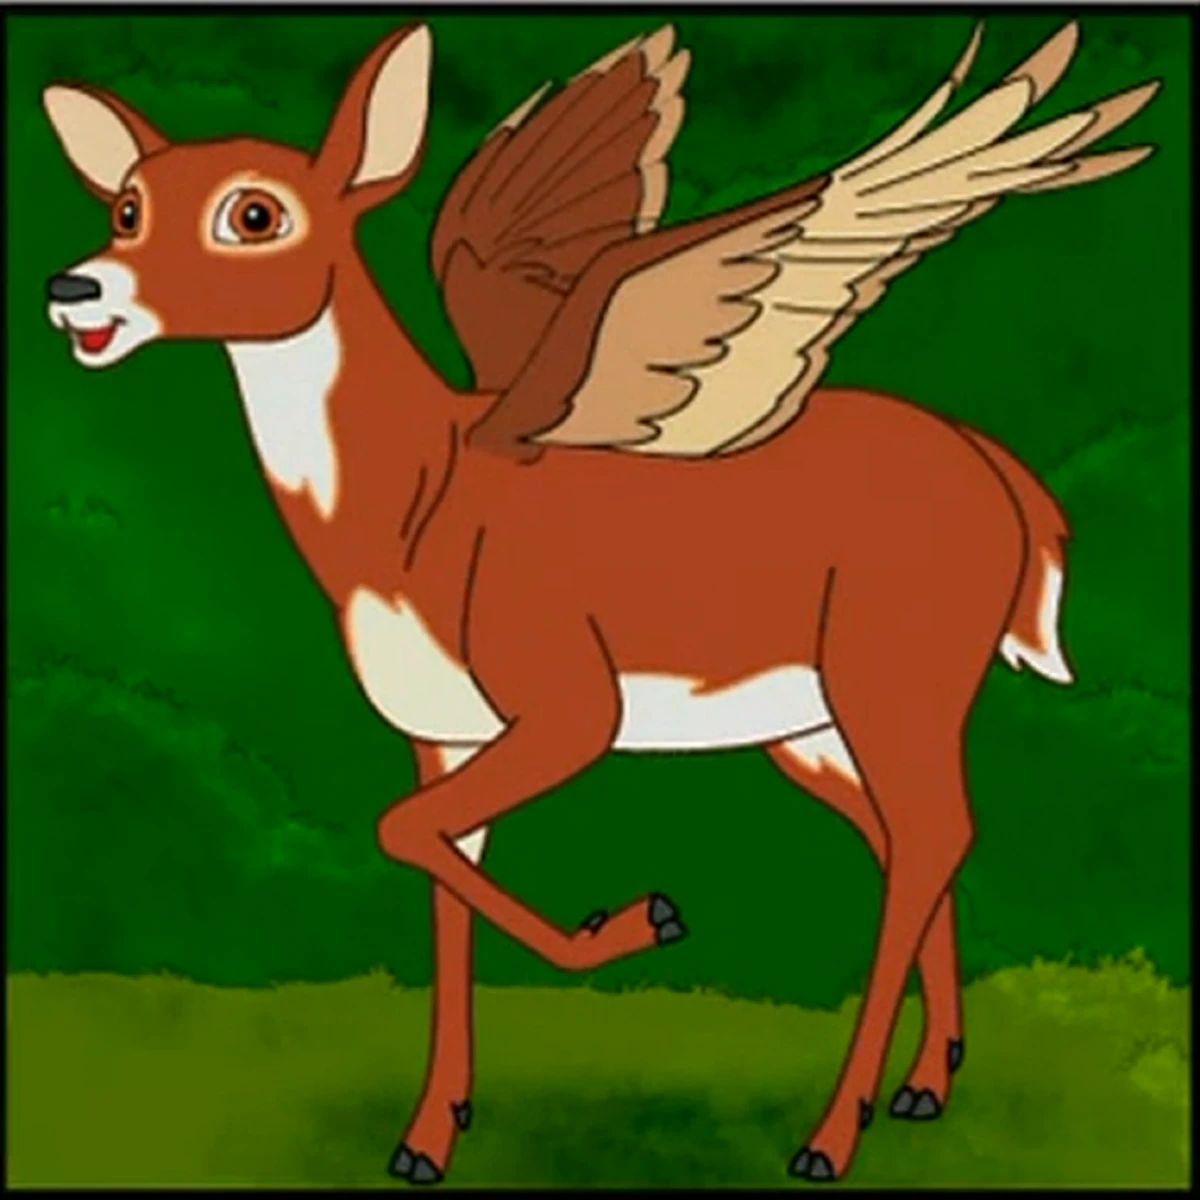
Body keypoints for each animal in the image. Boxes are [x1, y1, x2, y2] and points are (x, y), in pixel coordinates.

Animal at [42, 17, 1158, 1185]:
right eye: (127, 205)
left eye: (255, 212)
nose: (77, 291)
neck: (413, 509)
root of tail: (1008, 481)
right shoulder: (440, 730)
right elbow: (433, 872)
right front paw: (428, 1137)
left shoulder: (572, 704)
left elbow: (400, 831)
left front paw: (644, 919)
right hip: (811, 722)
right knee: (910, 838)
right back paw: (925, 1086)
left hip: (897, 676)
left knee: (935, 832)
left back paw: (828, 1137)